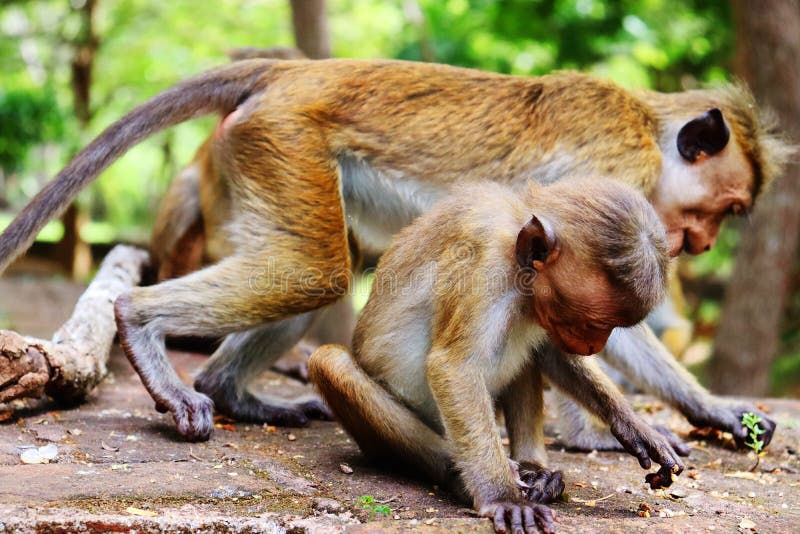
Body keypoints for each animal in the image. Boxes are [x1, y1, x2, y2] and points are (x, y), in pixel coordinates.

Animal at [0, 59, 791, 442]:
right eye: (724, 209)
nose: (701, 242)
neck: (648, 130)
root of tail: (294, 71)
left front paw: (712, 410)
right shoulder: (616, 173)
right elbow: (585, 305)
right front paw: (587, 437)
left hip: (265, 152)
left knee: (315, 266)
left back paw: (232, 393)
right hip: (285, 135)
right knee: (316, 271)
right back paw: (139, 323)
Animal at [308, 177, 685, 534]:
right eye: (594, 323)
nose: (594, 347)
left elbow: (551, 352)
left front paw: (634, 426)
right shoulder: (484, 264)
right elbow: (454, 367)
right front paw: (502, 496)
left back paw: (535, 470)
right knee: (331, 361)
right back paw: (460, 474)